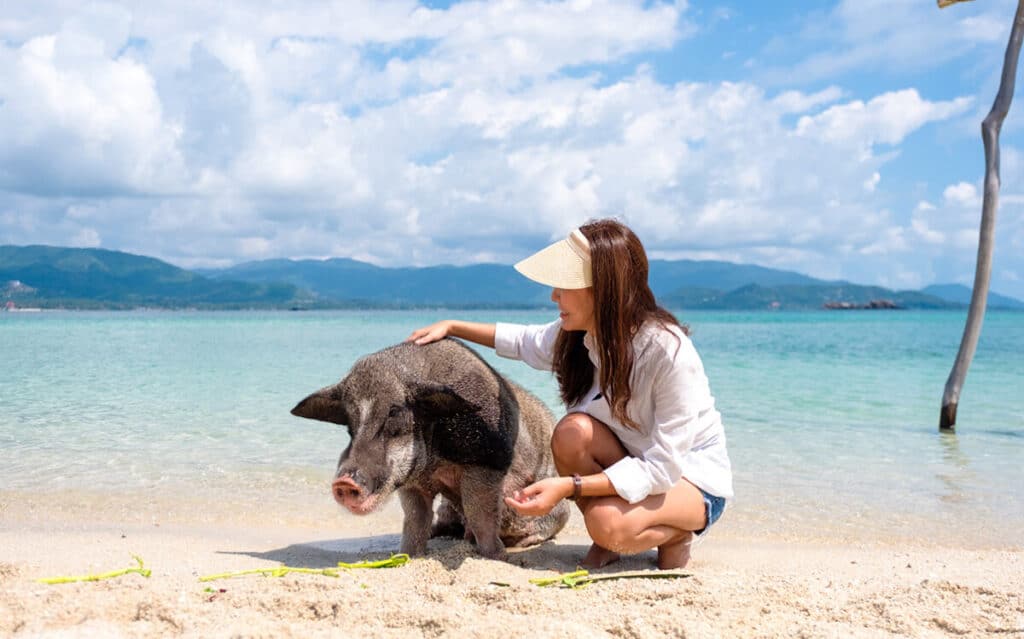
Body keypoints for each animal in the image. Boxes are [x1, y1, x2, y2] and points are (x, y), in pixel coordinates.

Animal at [290, 337, 569, 559]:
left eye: (395, 411)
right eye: (349, 422)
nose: (344, 482)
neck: (436, 464)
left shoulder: (486, 461)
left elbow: (480, 513)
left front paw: (498, 556)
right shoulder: (412, 483)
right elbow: (415, 520)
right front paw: (406, 555)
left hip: (558, 510)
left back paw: (521, 543)